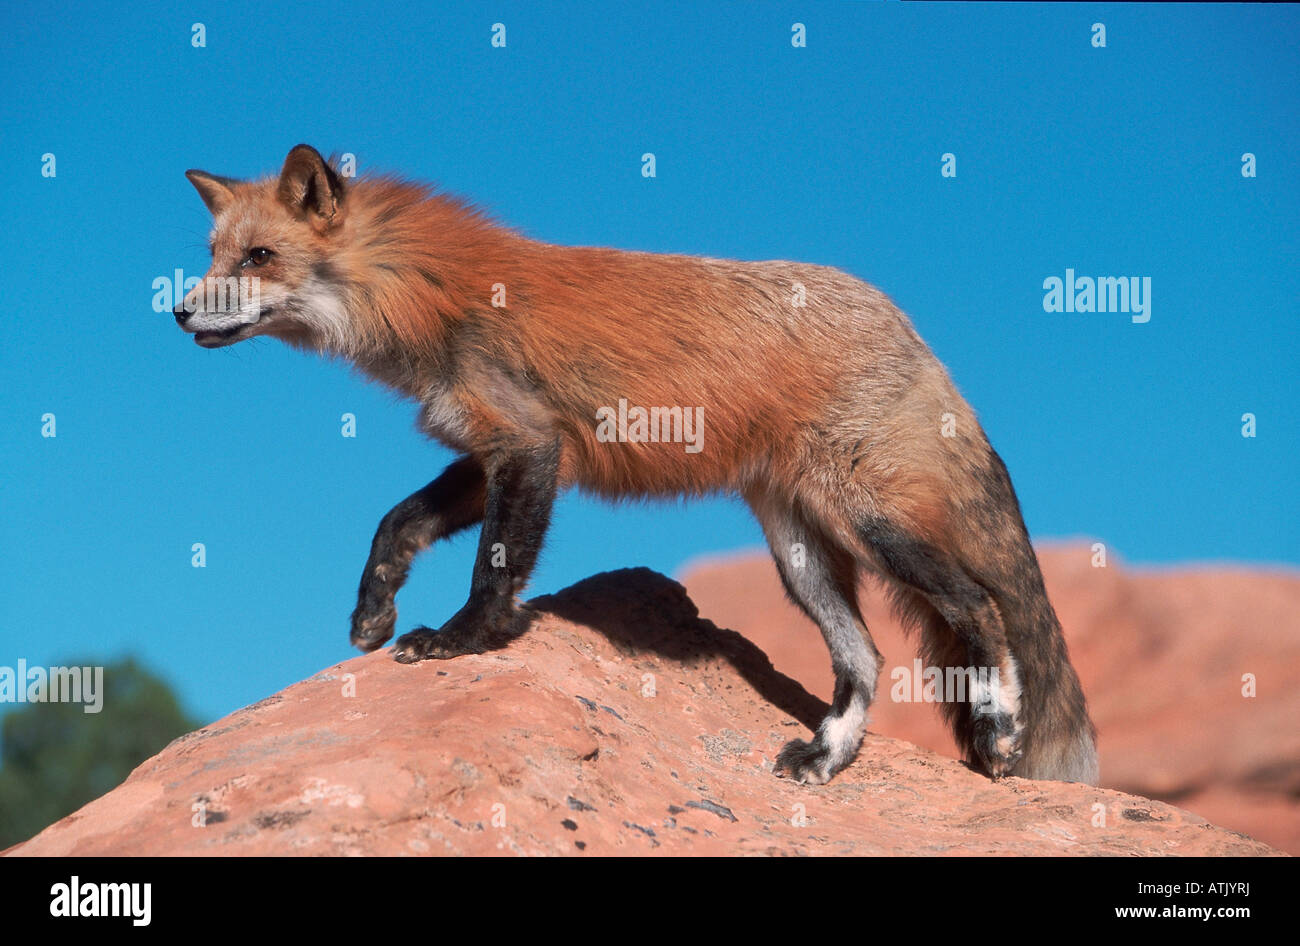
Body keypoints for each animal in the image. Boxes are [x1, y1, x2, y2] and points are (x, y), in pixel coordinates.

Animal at [175, 144, 1098, 786]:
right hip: (799, 554)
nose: (178, 310)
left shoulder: (531, 446)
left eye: (257, 259)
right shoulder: (487, 449)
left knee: (980, 605)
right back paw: (825, 758)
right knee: (865, 660)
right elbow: (393, 524)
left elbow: (492, 570)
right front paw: (374, 612)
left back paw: (998, 730)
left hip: (871, 523)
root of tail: (910, 326)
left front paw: (461, 642)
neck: (431, 291)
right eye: (216, 254)